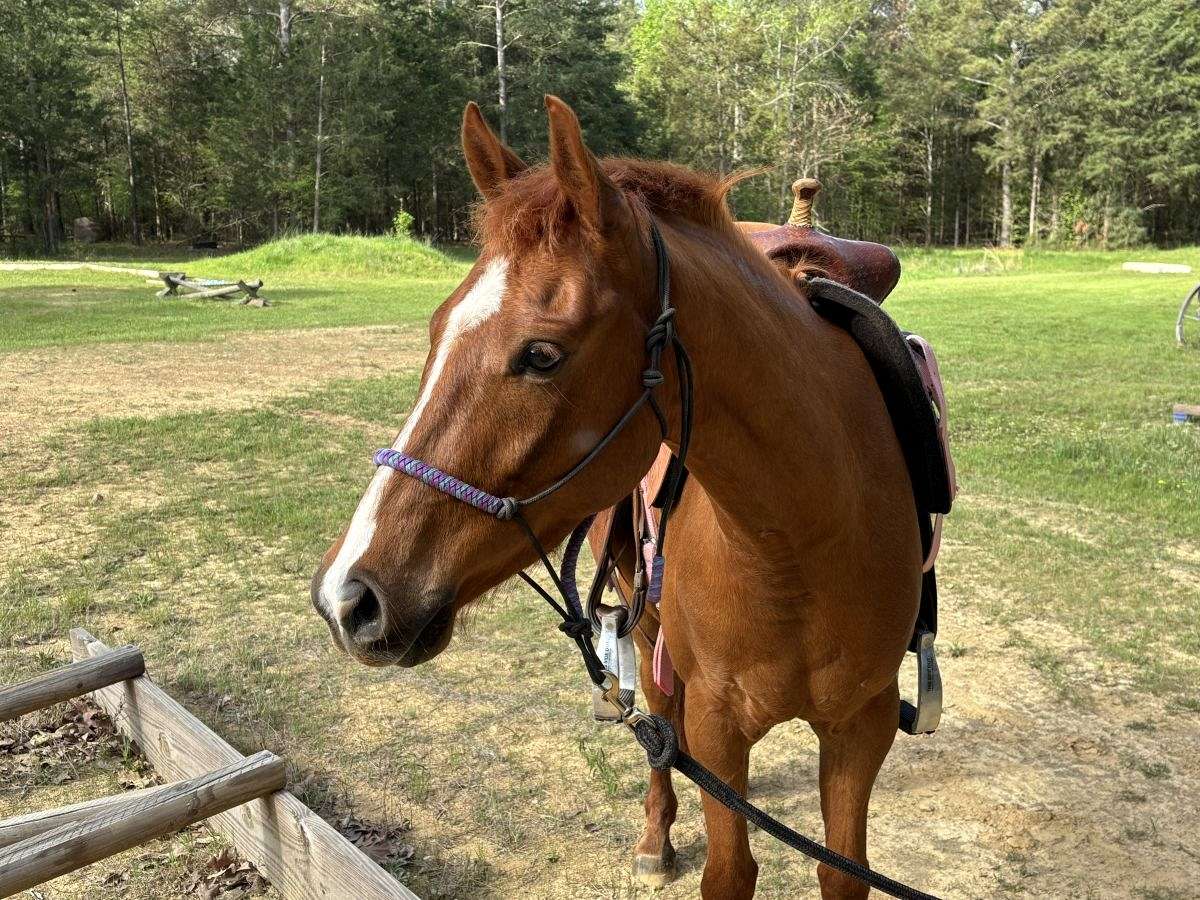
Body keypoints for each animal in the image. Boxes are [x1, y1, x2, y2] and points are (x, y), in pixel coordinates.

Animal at [311, 96, 922, 899]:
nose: (348, 598)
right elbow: (728, 865)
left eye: (542, 354)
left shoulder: (862, 727)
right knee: (660, 723)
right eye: (438, 327)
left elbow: (842, 872)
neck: (800, 544)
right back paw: (656, 835)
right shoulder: (719, 723)